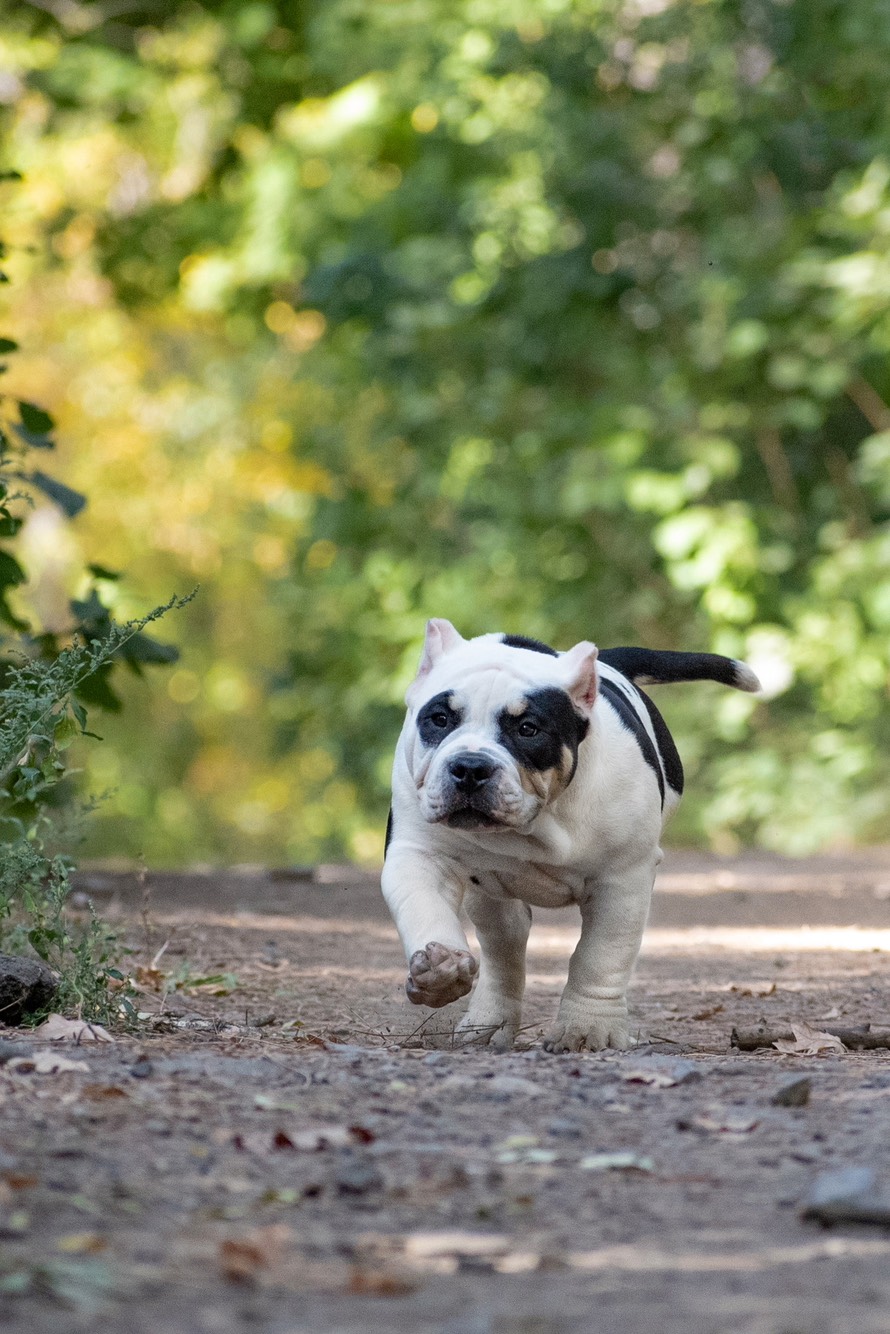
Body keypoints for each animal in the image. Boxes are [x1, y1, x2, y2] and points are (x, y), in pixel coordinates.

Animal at [378, 621, 763, 1051]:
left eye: (528, 729)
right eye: (440, 719)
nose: (470, 766)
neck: (536, 824)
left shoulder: (622, 880)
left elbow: (600, 956)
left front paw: (588, 1028)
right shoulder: (416, 853)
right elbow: (424, 907)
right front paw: (440, 967)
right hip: (491, 896)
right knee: (503, 945)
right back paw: (487, 1022)